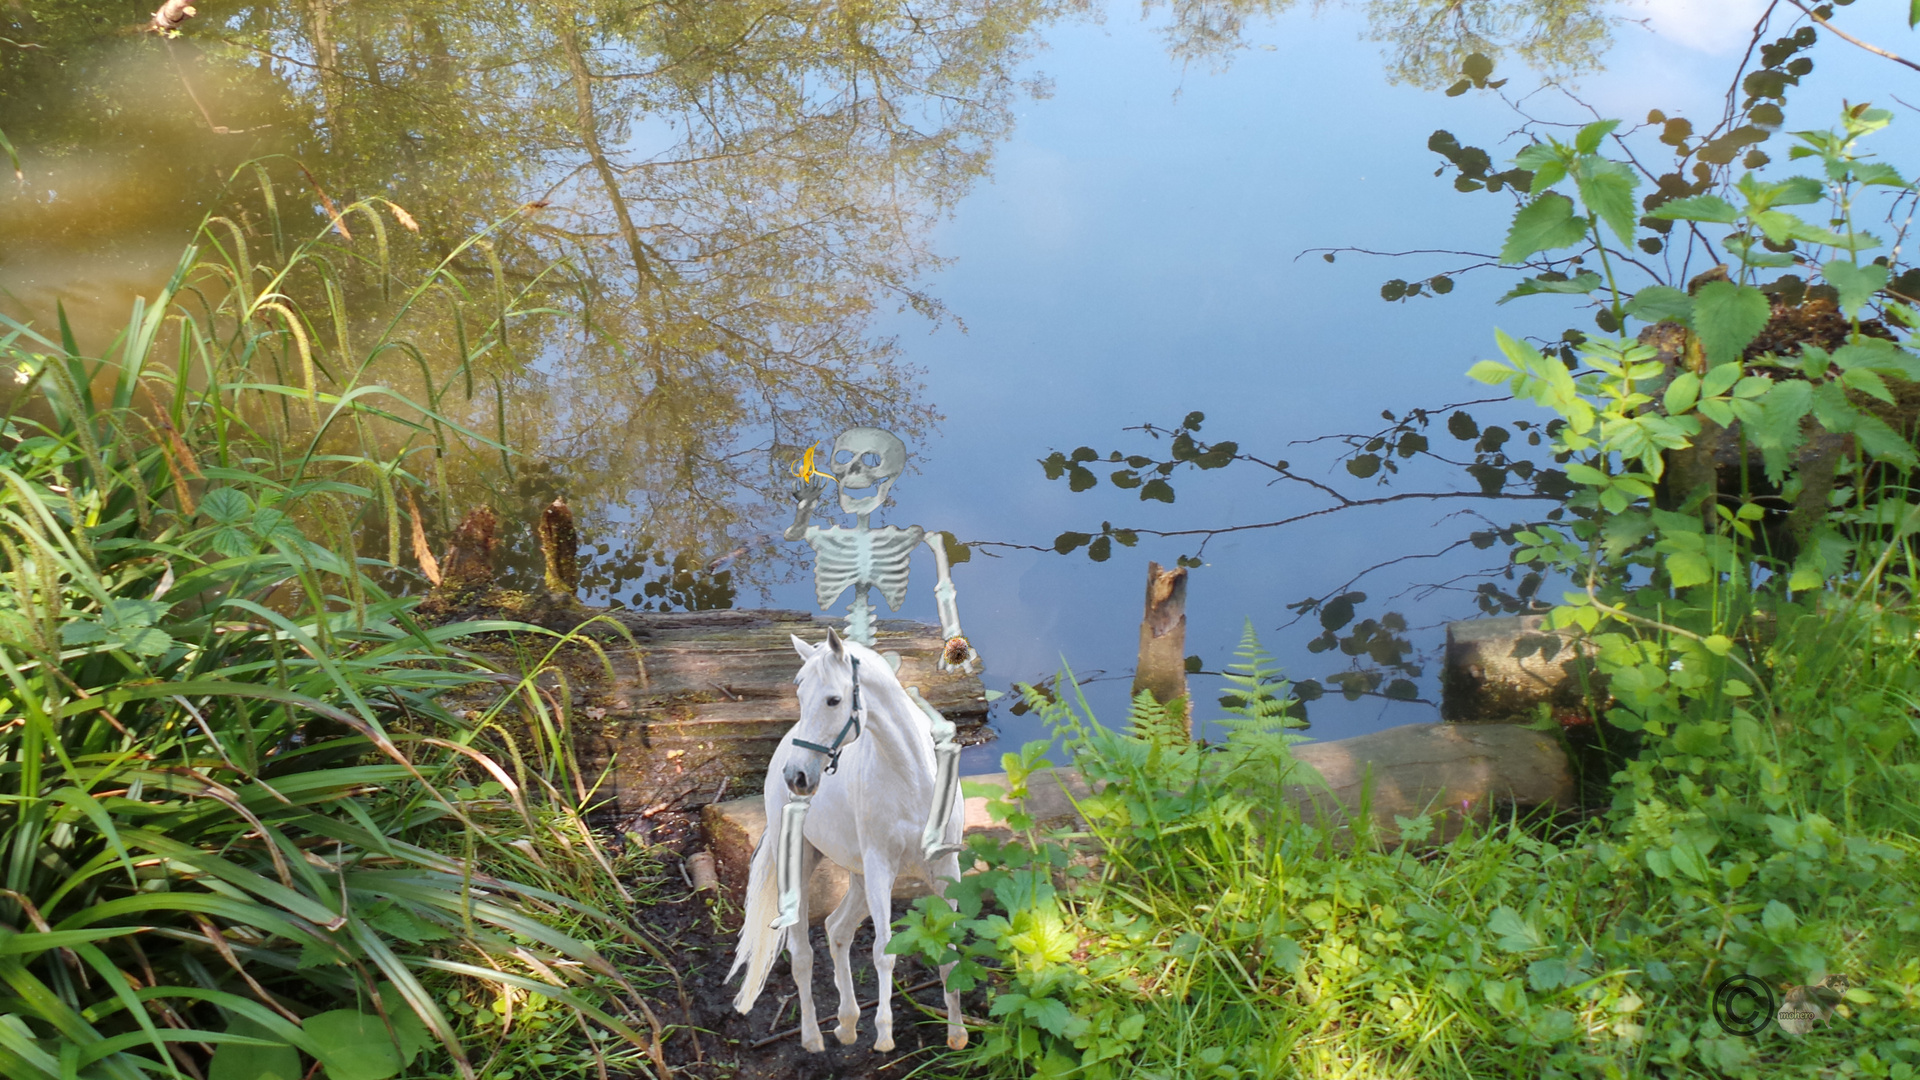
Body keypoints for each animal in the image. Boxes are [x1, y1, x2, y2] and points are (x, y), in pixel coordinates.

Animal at [733, 626, 975, 1045]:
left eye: (833, 699)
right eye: (799, 695)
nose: (797, 776)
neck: (913, 778)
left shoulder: (945, 868)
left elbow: (950, 949)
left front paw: (957, 1035)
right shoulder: (881, 869)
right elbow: (883, 951)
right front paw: (884, 1035)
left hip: (858, 877)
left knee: (837, 929)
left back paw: (847, 1024)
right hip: (803, 866)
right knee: (801, 953)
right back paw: (813, 1037)